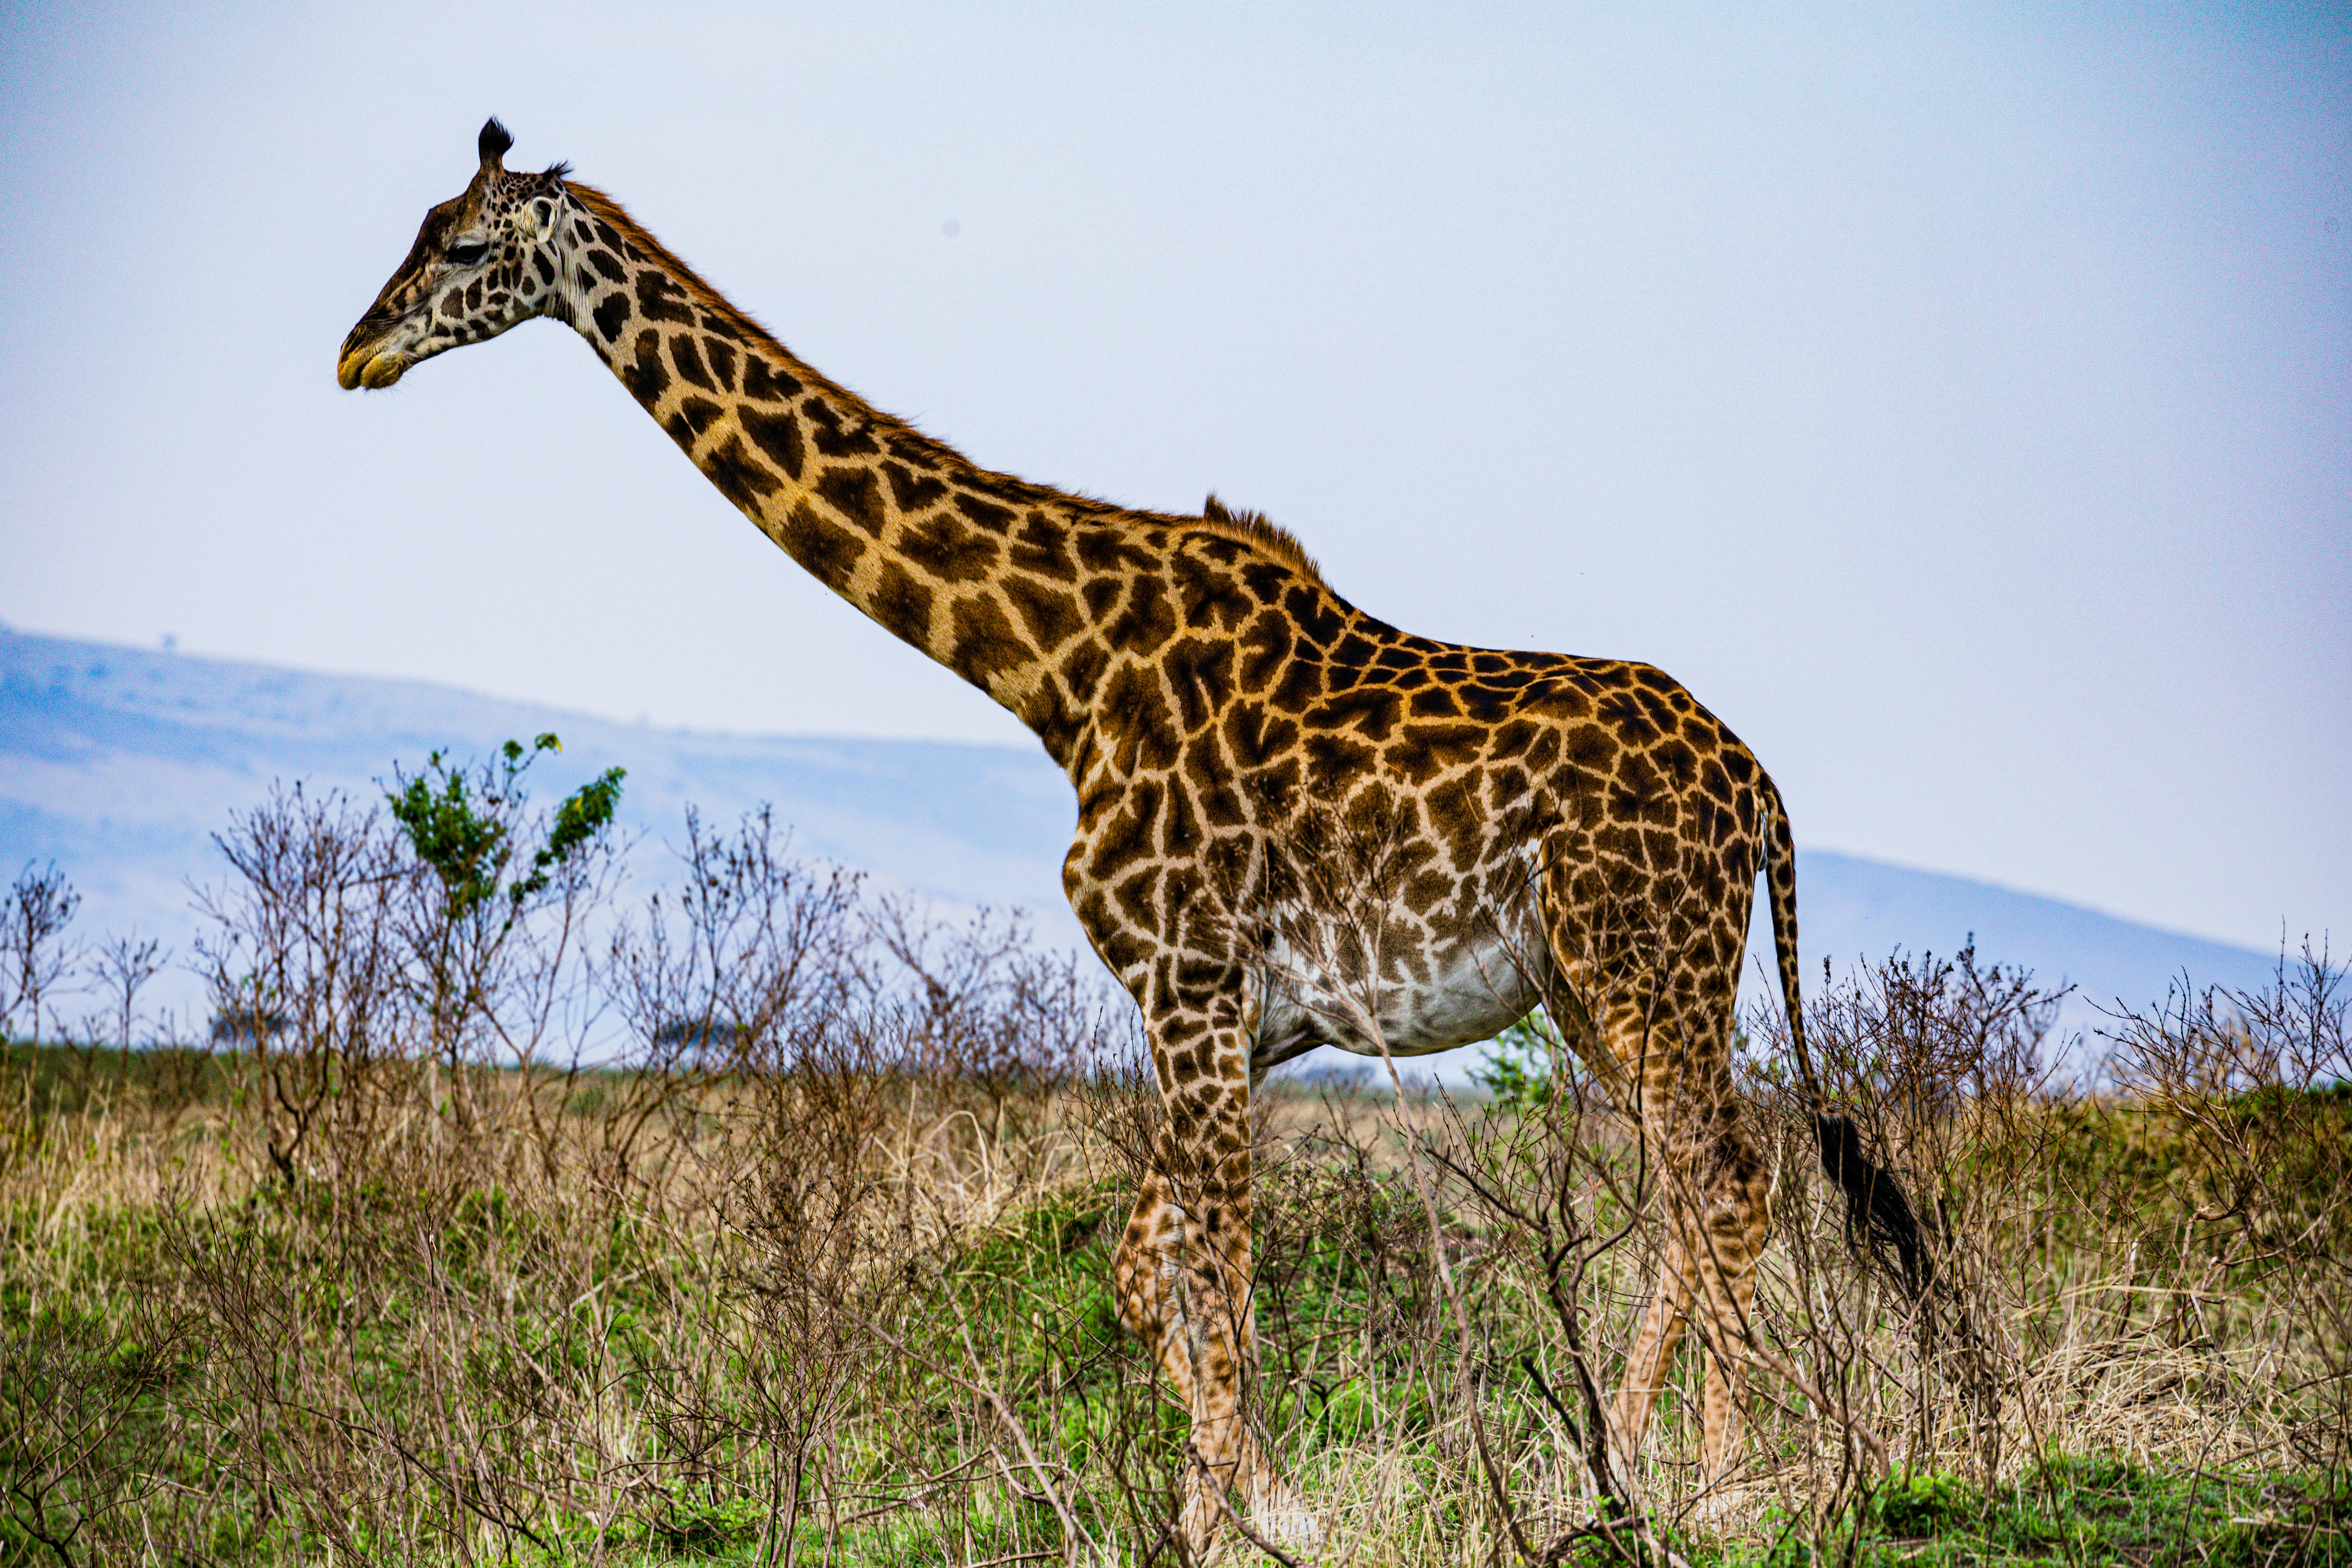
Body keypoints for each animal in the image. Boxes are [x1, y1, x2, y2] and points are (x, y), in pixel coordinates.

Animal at [338, 120, 1921, 1552]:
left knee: (1722, 1178)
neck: (1059, 668)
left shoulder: (1191, 982)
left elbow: (1216, 1269)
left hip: (1647, 963)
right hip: (1592, 985)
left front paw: (1233, 1519)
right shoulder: (1235, 1015)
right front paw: (1252, 1504)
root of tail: (1758, 788)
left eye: (465, 249)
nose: (356, 353)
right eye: (417, 228)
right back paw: (1616, 1473)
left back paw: (1711, 1489)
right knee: (1690, 1190)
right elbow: (1144, 1268)